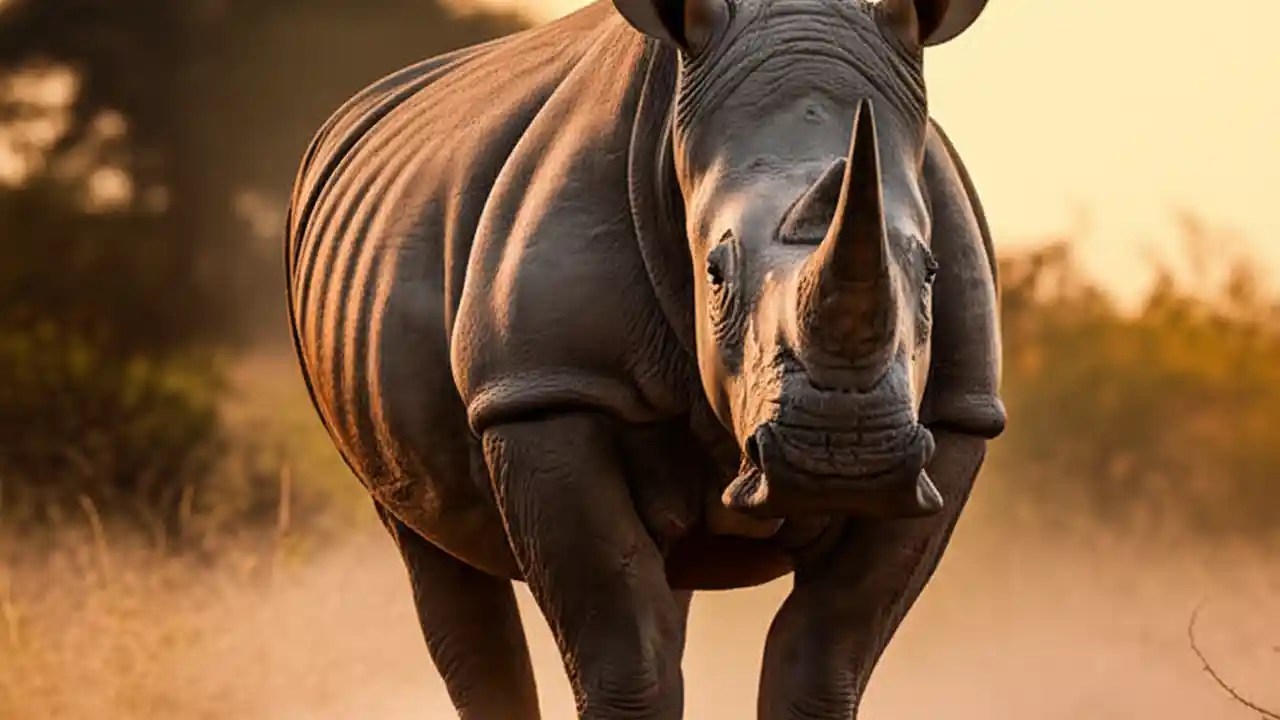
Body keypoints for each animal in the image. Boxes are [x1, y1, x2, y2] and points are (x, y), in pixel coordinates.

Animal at [285, 0, 1006, 717]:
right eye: (714, 272)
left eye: (932, 270)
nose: (843, 456)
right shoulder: (545, 390)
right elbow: (624, 656)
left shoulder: (957, 415)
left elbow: (827, 657)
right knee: (434, 552)